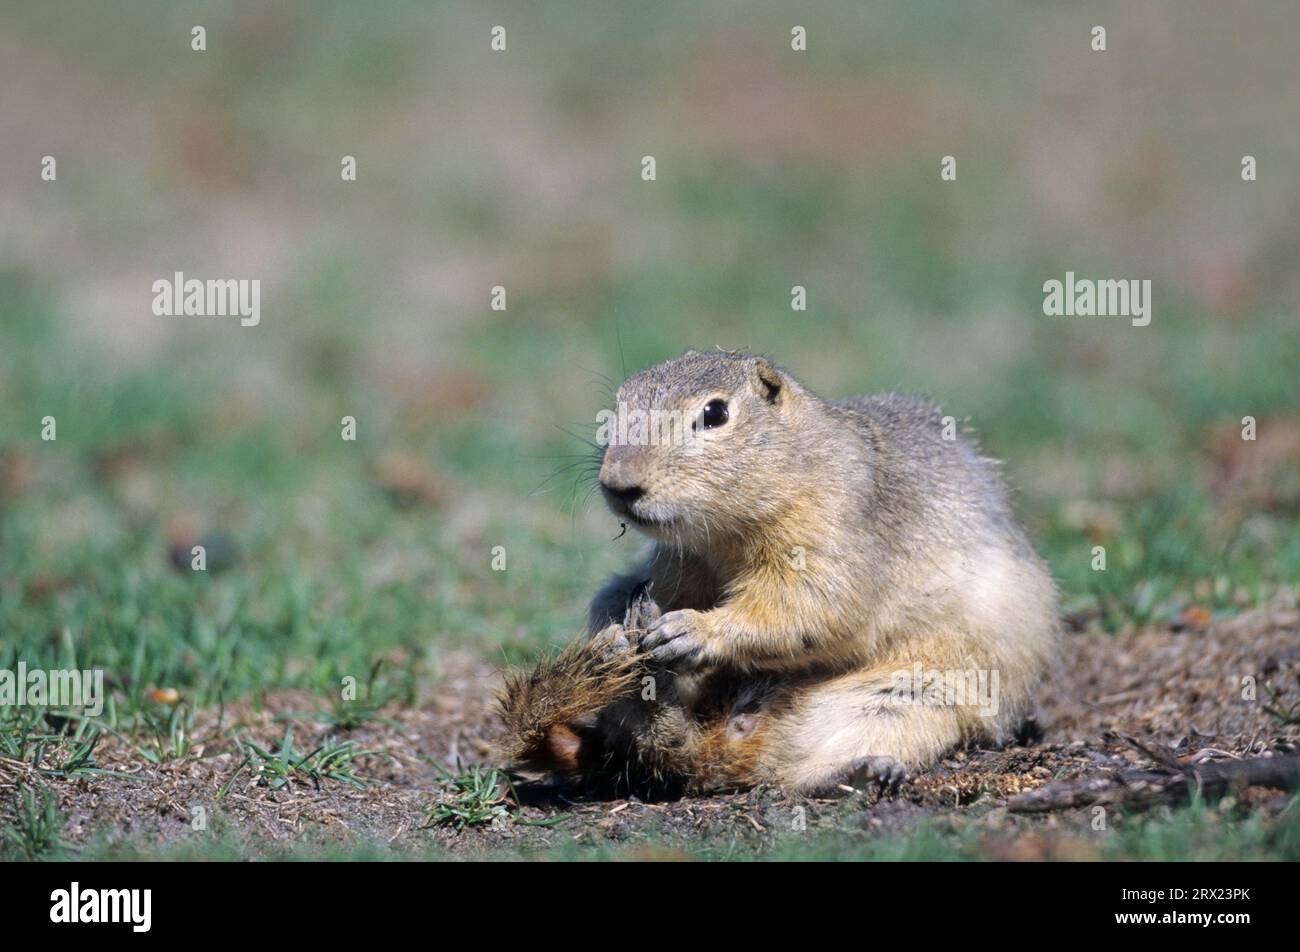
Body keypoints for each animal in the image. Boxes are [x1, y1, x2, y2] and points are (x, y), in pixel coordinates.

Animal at [500, 349, 1059, 796]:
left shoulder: (833, 529)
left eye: (715, 413)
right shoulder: (676, 561)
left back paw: (865, 771)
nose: (619, 483)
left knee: (782, 772)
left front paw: (692, 630)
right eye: (617, 406)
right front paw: (614, 636)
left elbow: (813, 605)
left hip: (905, 701)